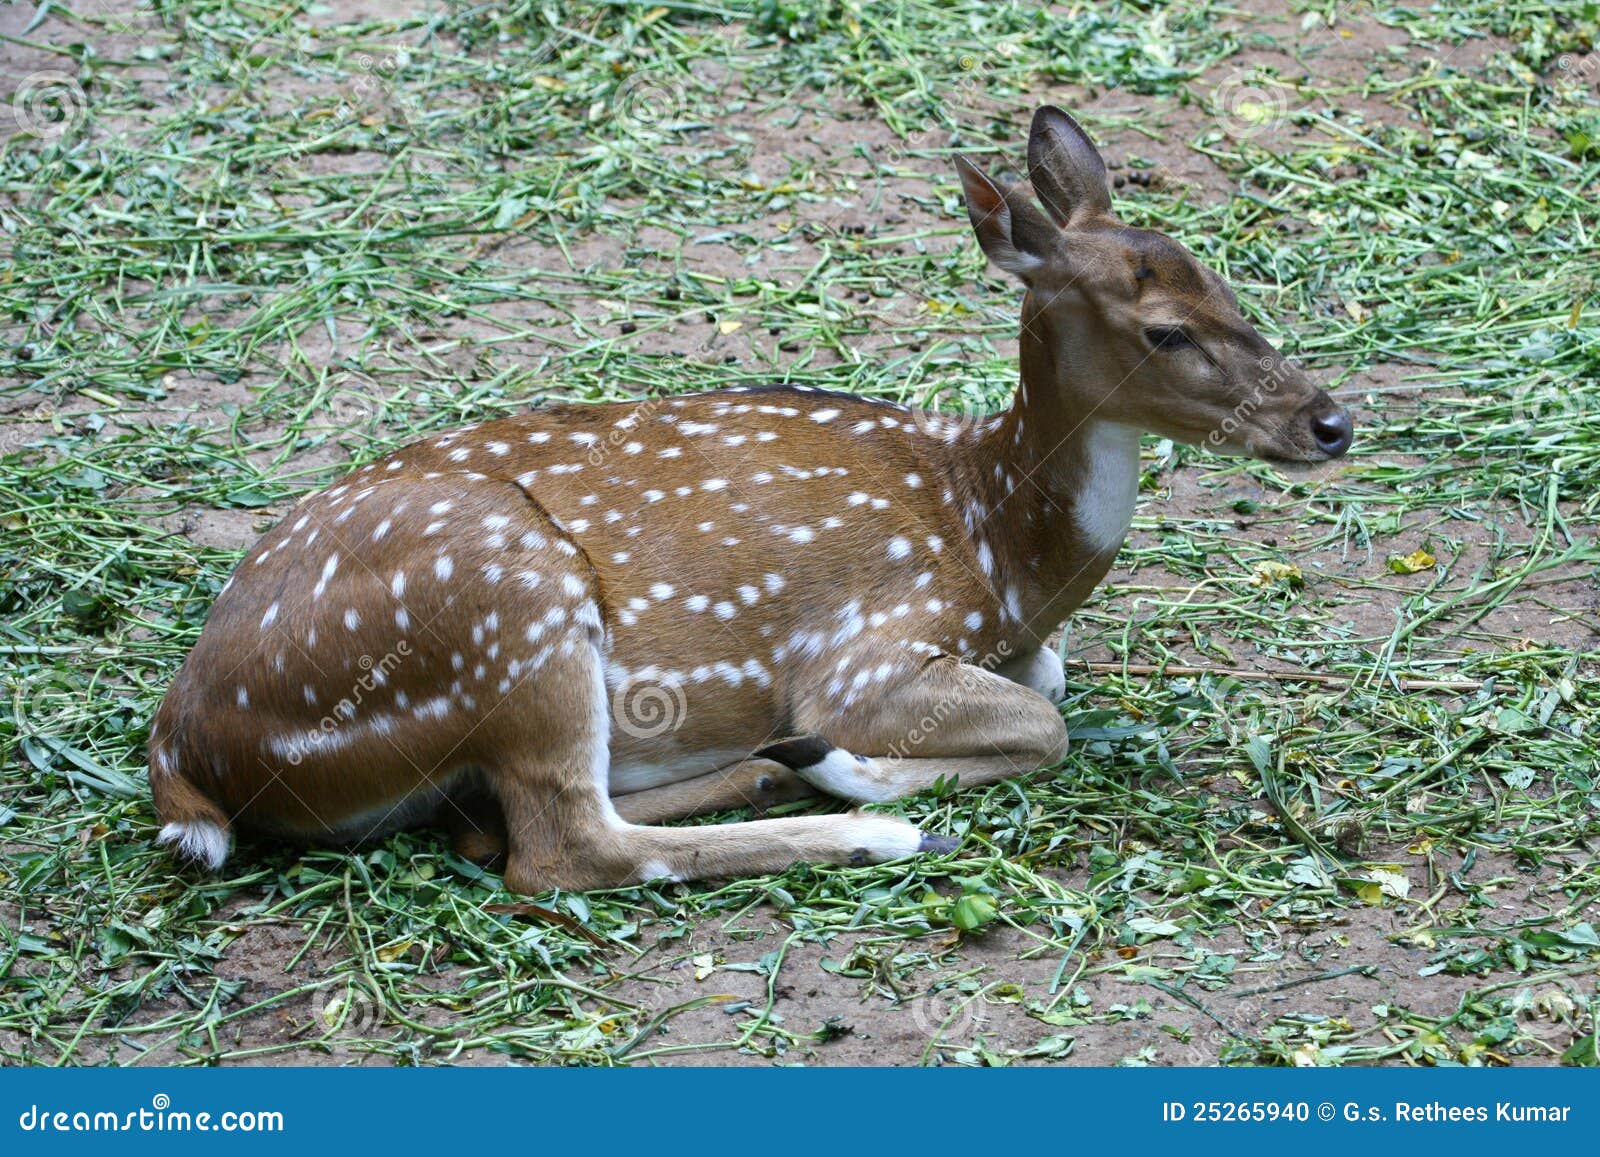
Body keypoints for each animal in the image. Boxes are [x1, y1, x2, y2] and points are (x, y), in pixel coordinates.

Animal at [149, 107, 1353, 893]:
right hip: (513, 605)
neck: (999, 551)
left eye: (1228, 283)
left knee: (500, 827)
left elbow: (1049, 690)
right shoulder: (862, 652)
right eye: (1165, 331)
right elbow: (1045, 723)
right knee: (559, 850)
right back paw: (860, 825)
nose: (1330, 421)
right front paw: (859, 770)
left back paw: (763, 777)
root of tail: (185, 753)